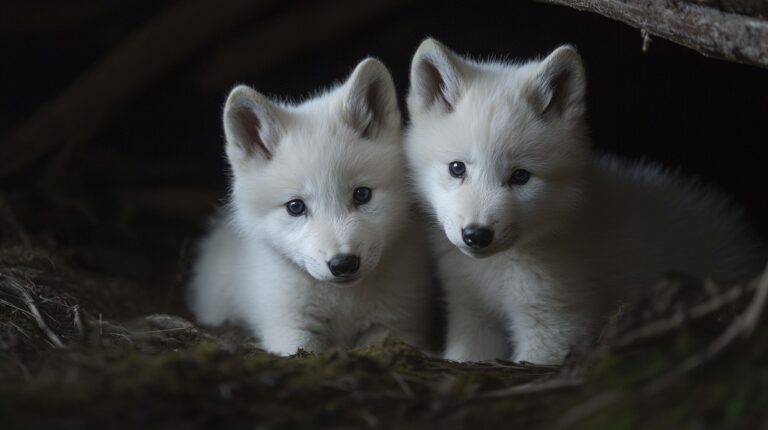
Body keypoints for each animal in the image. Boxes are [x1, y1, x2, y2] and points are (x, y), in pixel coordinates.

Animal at [188, 58, 431, 355]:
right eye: (295, 207)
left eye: (362, 195)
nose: (344, 264)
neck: (343, 303)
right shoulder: (289, 328)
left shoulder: (396, 326)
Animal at [404, 38, 765, 365]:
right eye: (456, 168)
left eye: (520, 177)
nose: (476, 235)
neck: (497, 271)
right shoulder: (471, 312)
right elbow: (464, 358)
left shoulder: (555, 324)